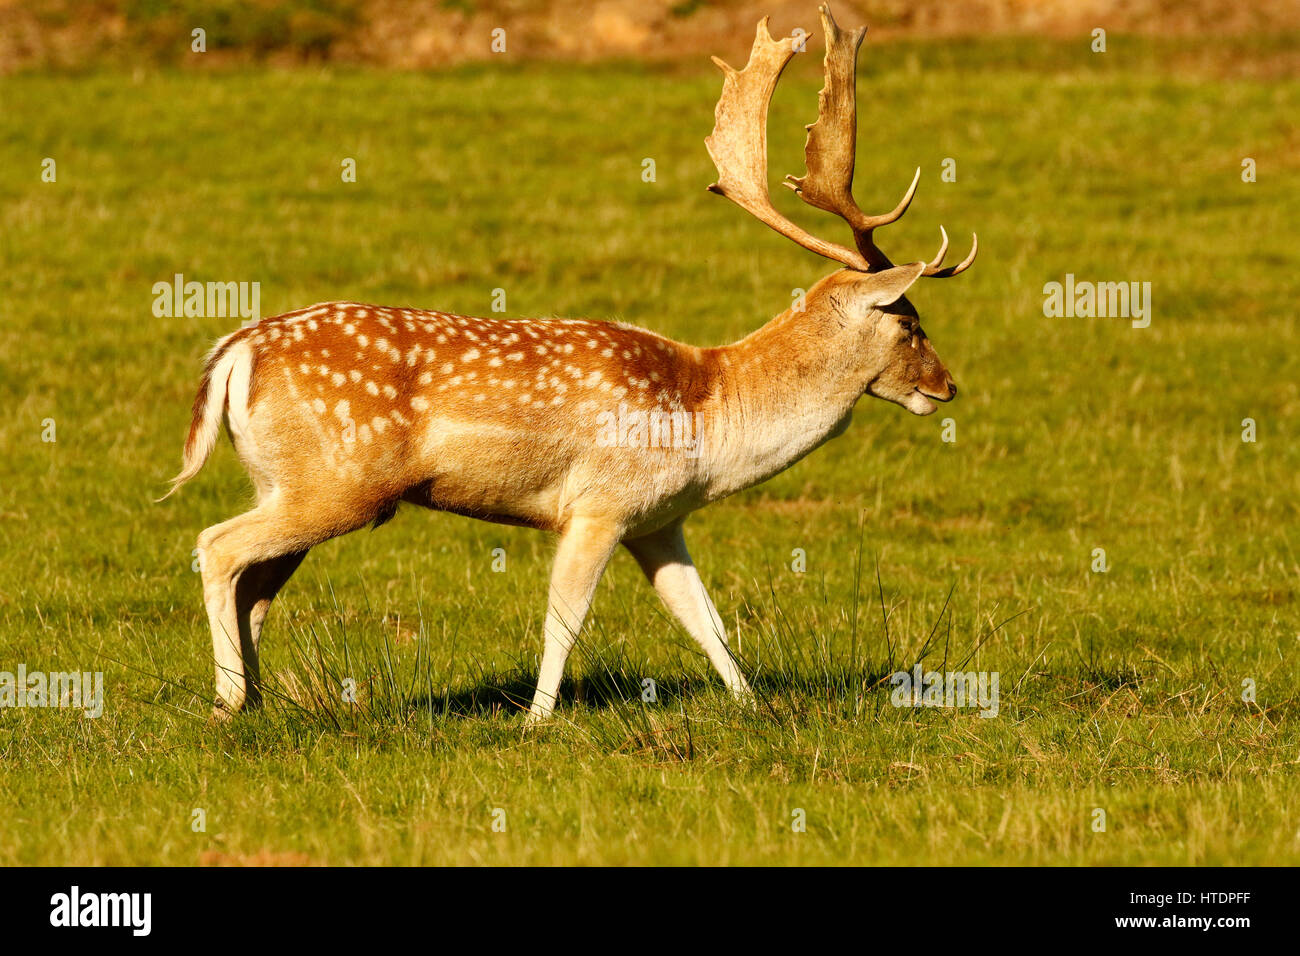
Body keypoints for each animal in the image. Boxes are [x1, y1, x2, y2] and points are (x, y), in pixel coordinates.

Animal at [163, 4, 975, 724]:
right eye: (909, 322)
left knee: (255, 583)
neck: (711, 413)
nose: (948, 385)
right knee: (216, 547)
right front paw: (538, 720)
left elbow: (703, 618)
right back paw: (229, 701)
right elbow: (567, 616)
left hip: (287, 480)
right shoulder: (599, 502)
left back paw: (254, 701)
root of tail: (232, 355)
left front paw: (758, 707)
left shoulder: (659, 519)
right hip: (337, 482)